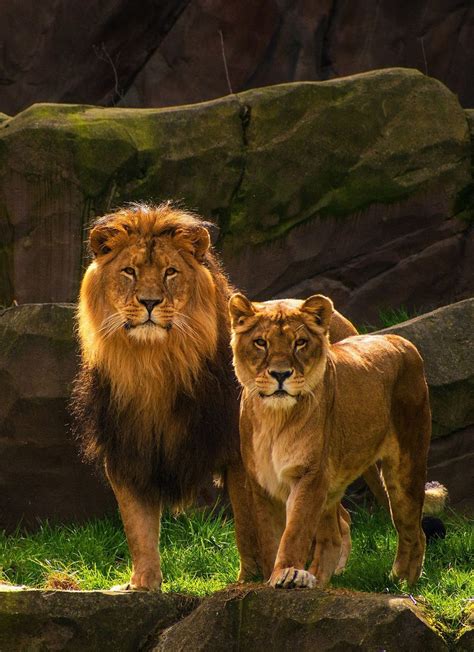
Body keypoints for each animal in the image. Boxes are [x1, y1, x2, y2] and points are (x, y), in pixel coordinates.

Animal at [71, 202, 391, 590]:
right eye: (129, 271)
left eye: (170, 272)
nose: (149, 302)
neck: (152, 365)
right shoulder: (126, 450)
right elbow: (138, 527)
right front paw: (142, 585)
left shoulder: (240, 452)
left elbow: (250, 526)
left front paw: (251, 580)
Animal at [229, 292, 447, 589]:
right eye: (260, 342)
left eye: (300, 342)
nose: (280, 374)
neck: (274, 417)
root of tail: (398, 339)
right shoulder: (263, 483)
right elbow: (270, 538)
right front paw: (273, 579)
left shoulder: (310, 475)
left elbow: (295, 532)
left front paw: (287, 574)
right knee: (333, 535)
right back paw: (320, 581)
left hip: (406, 466)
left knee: (413, 530)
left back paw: (401, 581)